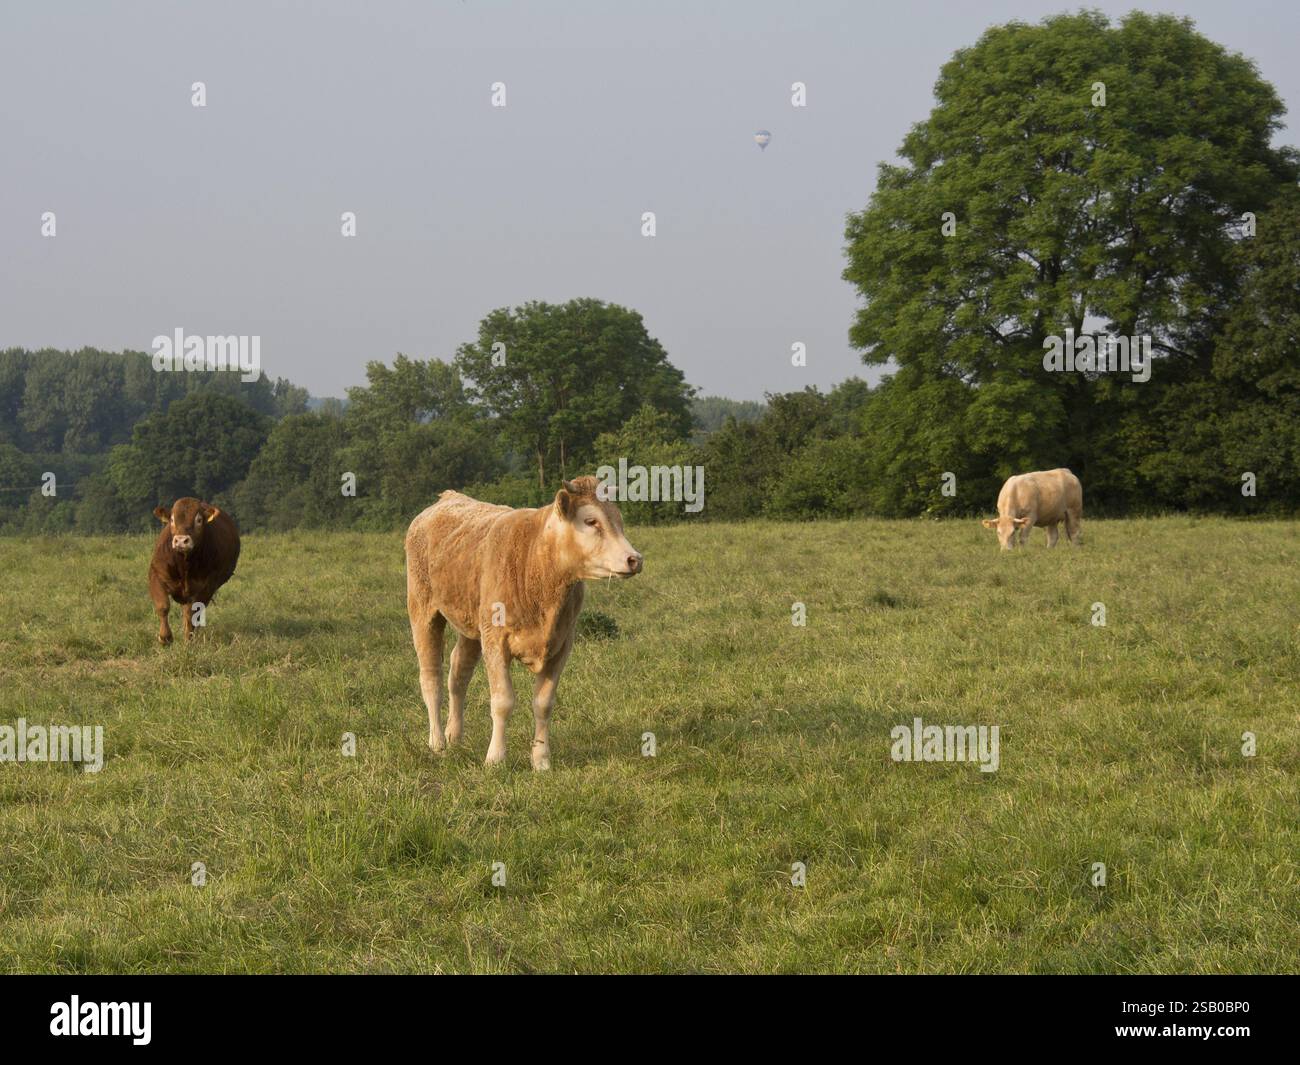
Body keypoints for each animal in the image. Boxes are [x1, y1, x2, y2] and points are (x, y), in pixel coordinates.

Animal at [149, 497, 241, 643]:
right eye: (172, 519)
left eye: (199, 520)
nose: (181, 540)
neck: (184, 565)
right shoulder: (156, 574)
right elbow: (163, 606)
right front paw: (165, 637)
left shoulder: (207, 586)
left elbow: (192, 614)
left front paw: (188, 640)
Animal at [404, 475, 643, 770]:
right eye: (591, 521)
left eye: (618, 520)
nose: (634, 559)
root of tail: (447, 498)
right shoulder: (495, 640)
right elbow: (502, 701)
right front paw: (495, 758)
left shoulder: (561, 644)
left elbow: (543, 703)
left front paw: (541, 760)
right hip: (422, 610)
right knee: (431, 678)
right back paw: (437, 742)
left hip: (470, 624)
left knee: (458, 673)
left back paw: (454, 735)